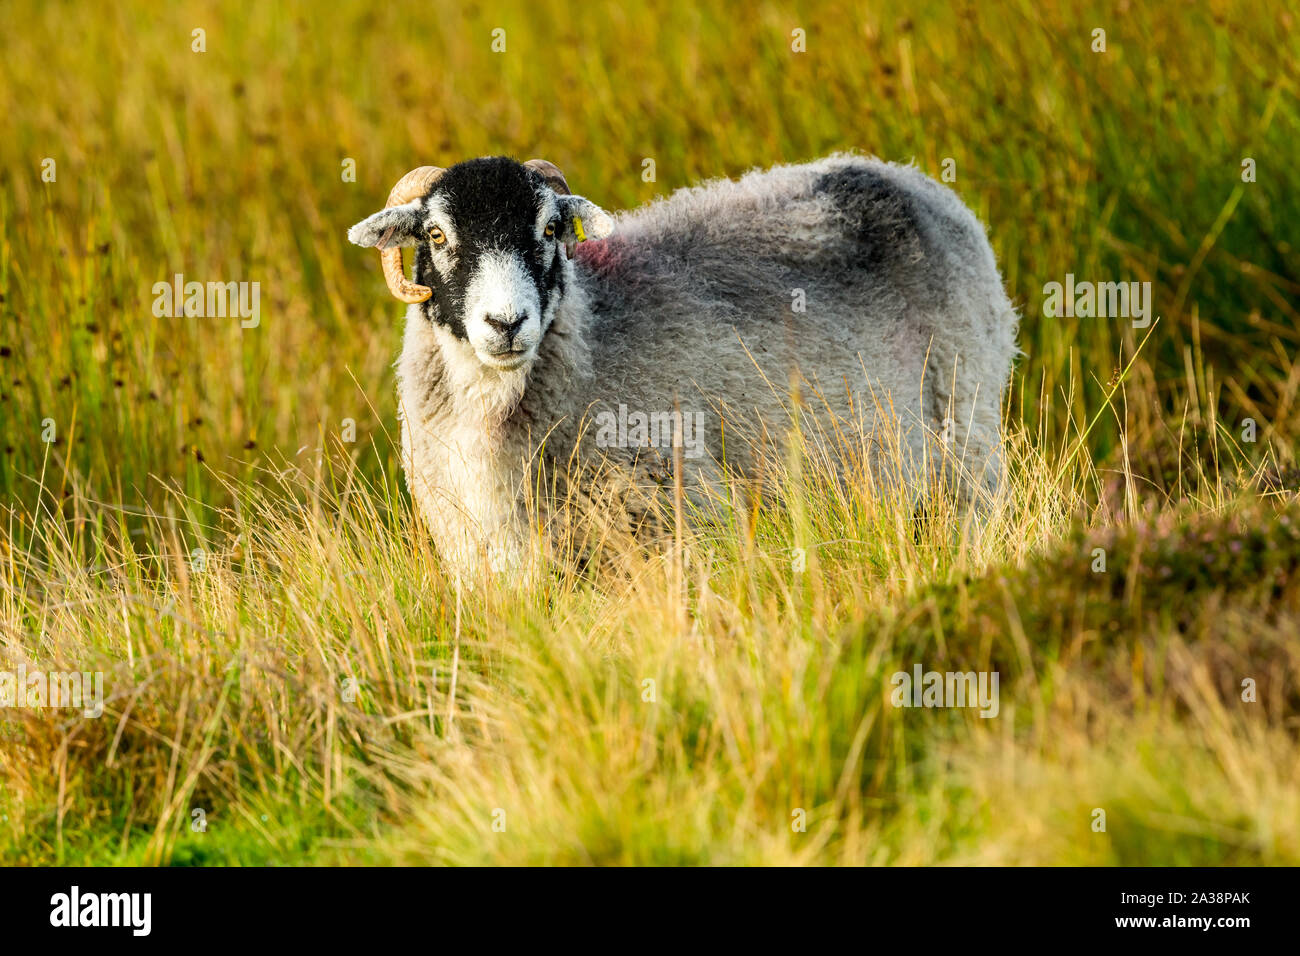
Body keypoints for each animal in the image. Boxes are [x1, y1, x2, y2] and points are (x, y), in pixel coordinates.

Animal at [347, 154, 1018, 576]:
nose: (506, 323)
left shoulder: (684, 514)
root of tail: (910, 181)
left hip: (969, 432)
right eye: (435, 235)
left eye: (550, 228)